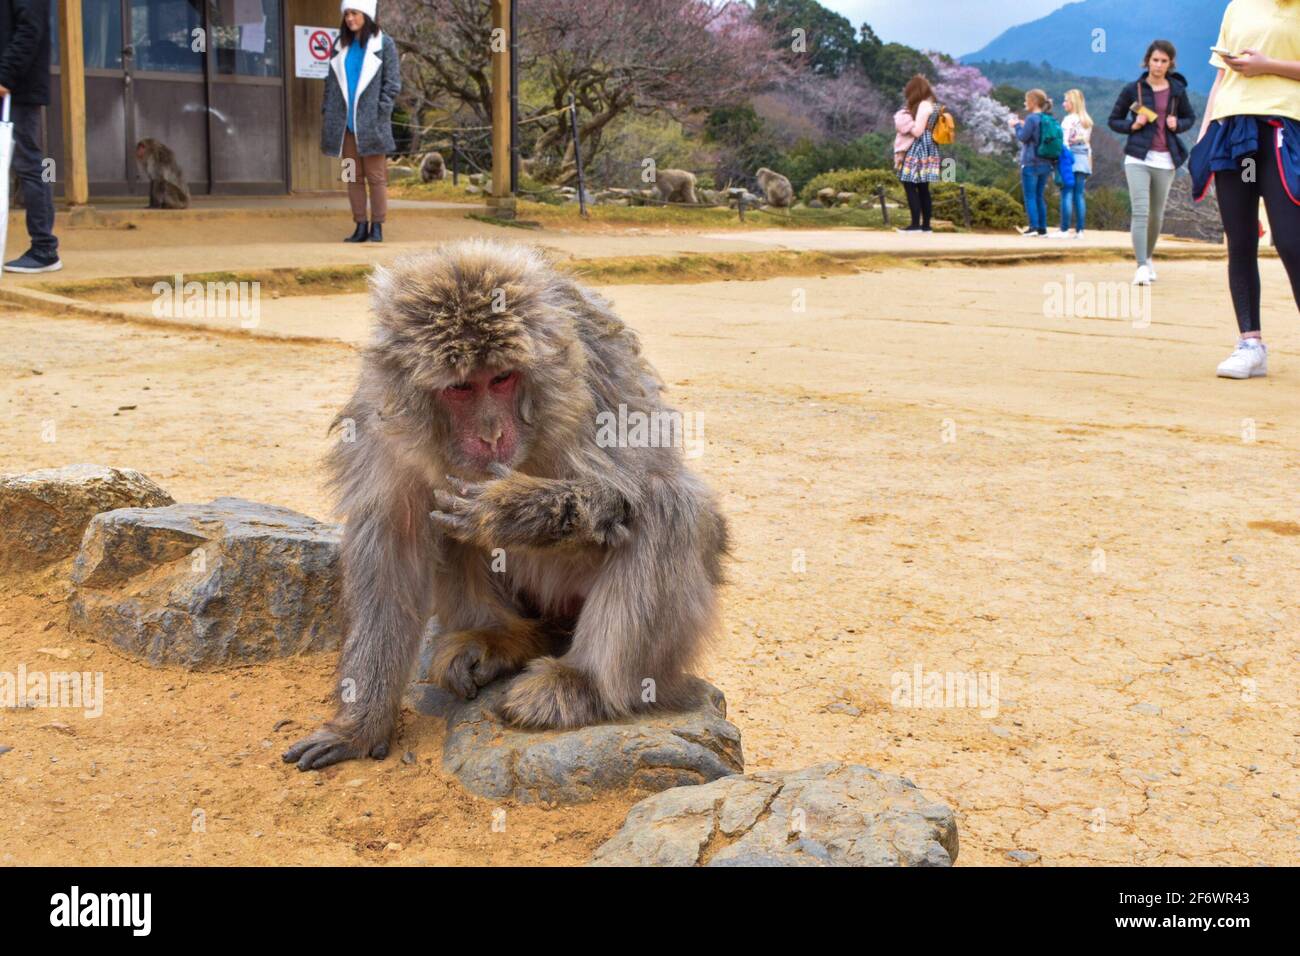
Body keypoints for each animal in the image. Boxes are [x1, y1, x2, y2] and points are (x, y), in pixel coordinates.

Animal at [283, 239, 728, 771]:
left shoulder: (595, 380)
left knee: (671, 505)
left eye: (501, 379)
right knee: (439, 524)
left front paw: (513, 511)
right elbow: (393, 544)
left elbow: (634, 489)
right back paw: (502, 639)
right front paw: (359, 724)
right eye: (461, 387)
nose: (492, 434)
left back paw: (585, 683)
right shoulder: (380, 414)